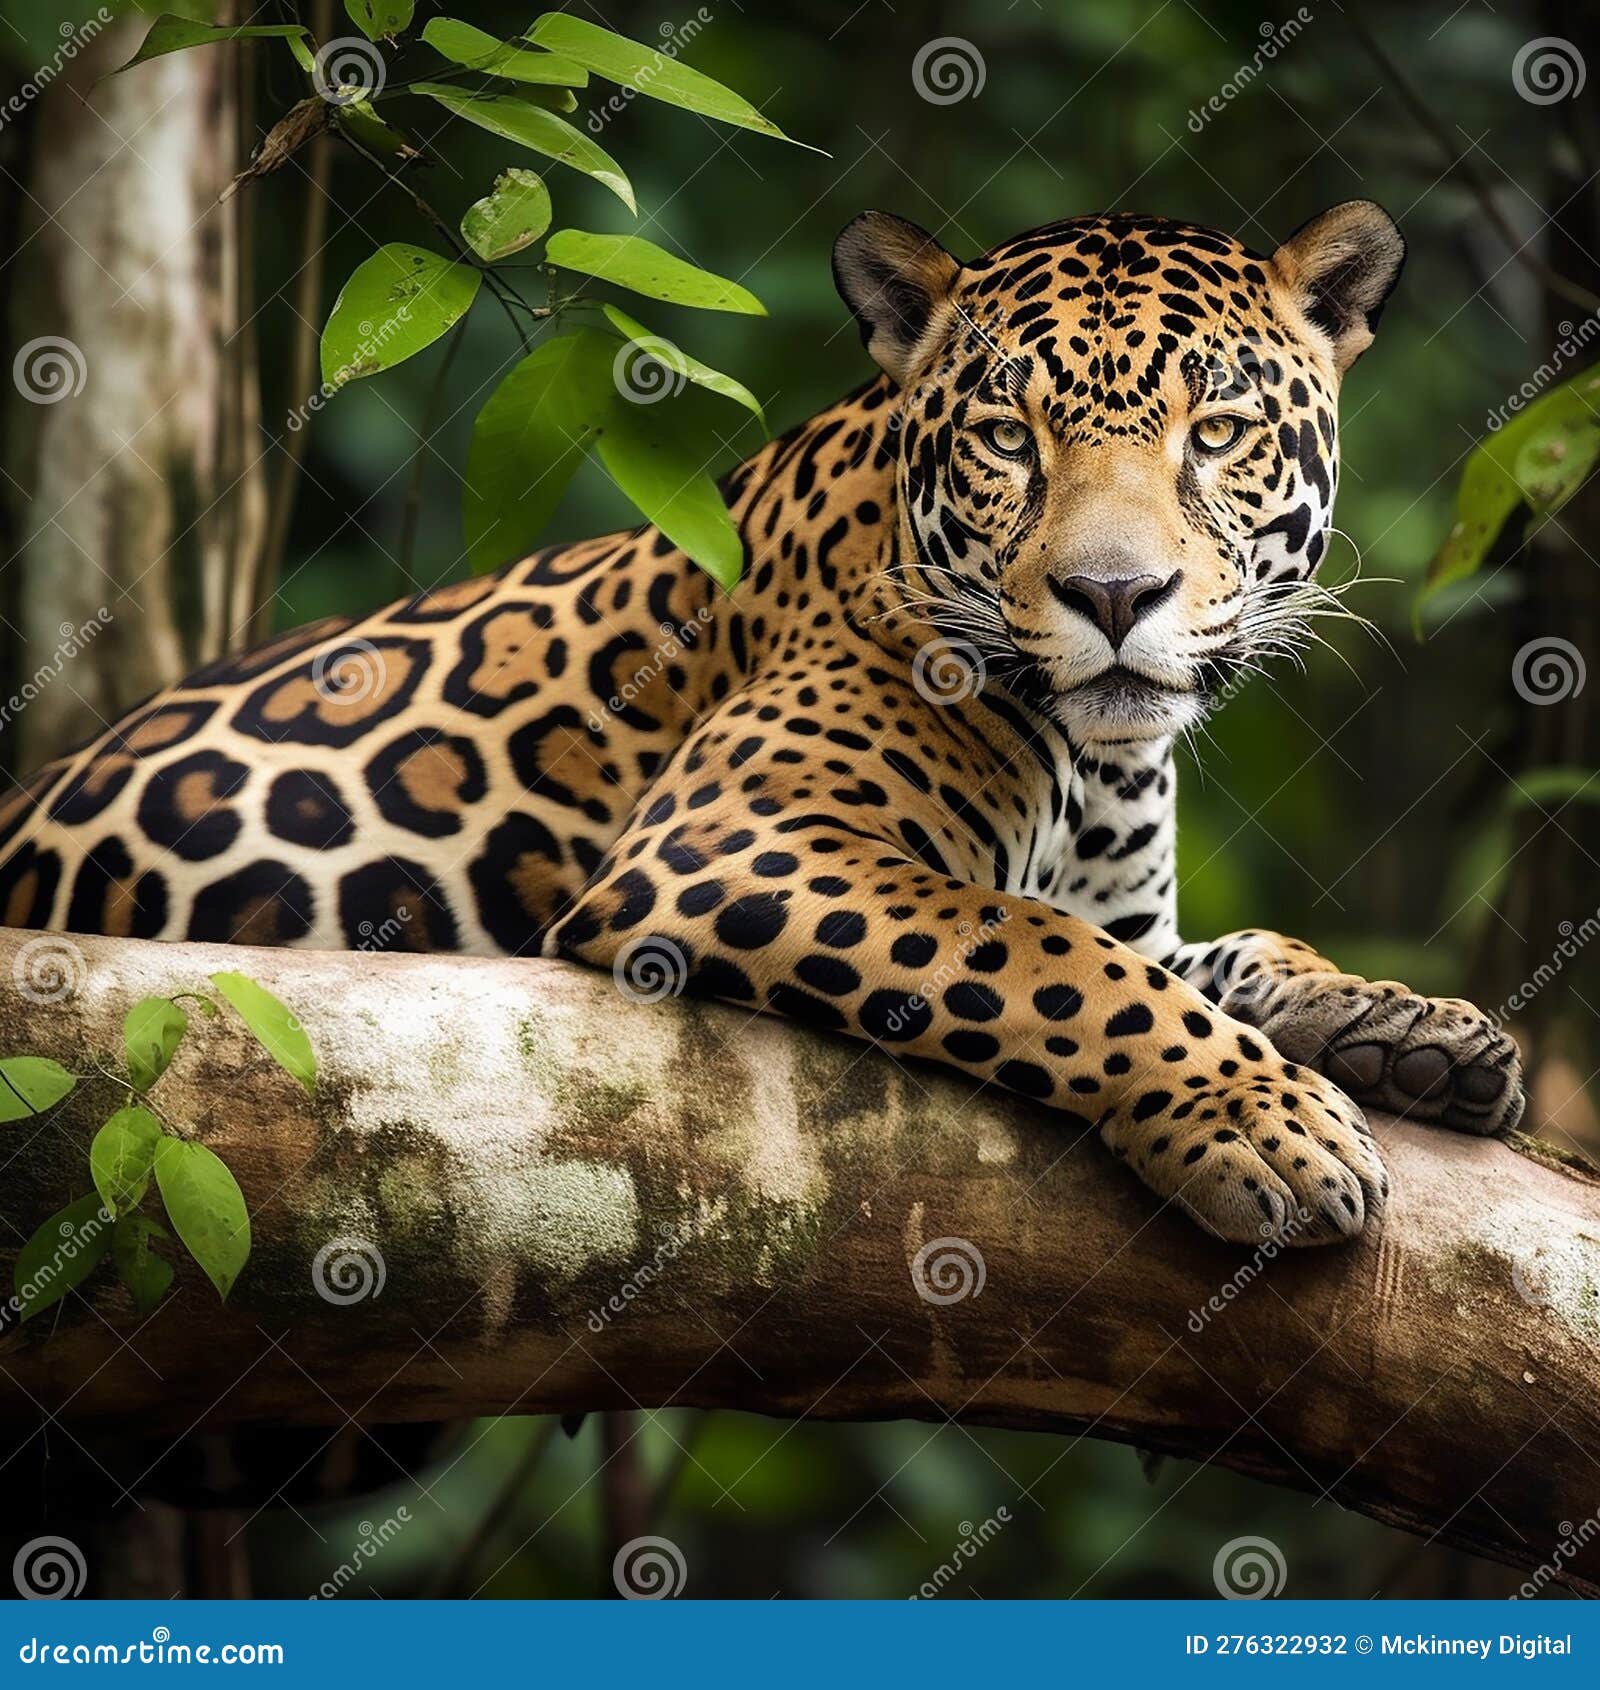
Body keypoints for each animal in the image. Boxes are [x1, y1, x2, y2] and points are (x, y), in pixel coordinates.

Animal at [0, 199, 1524, 1249]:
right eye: (1008, 440)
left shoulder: (1137, 909)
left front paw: (1413, 1028)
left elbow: (1226, 954)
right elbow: (1054, 962)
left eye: (1215, 433)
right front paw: (1265, 1126)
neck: (1099, 760)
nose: (1112, 594)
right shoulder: (734, 835)